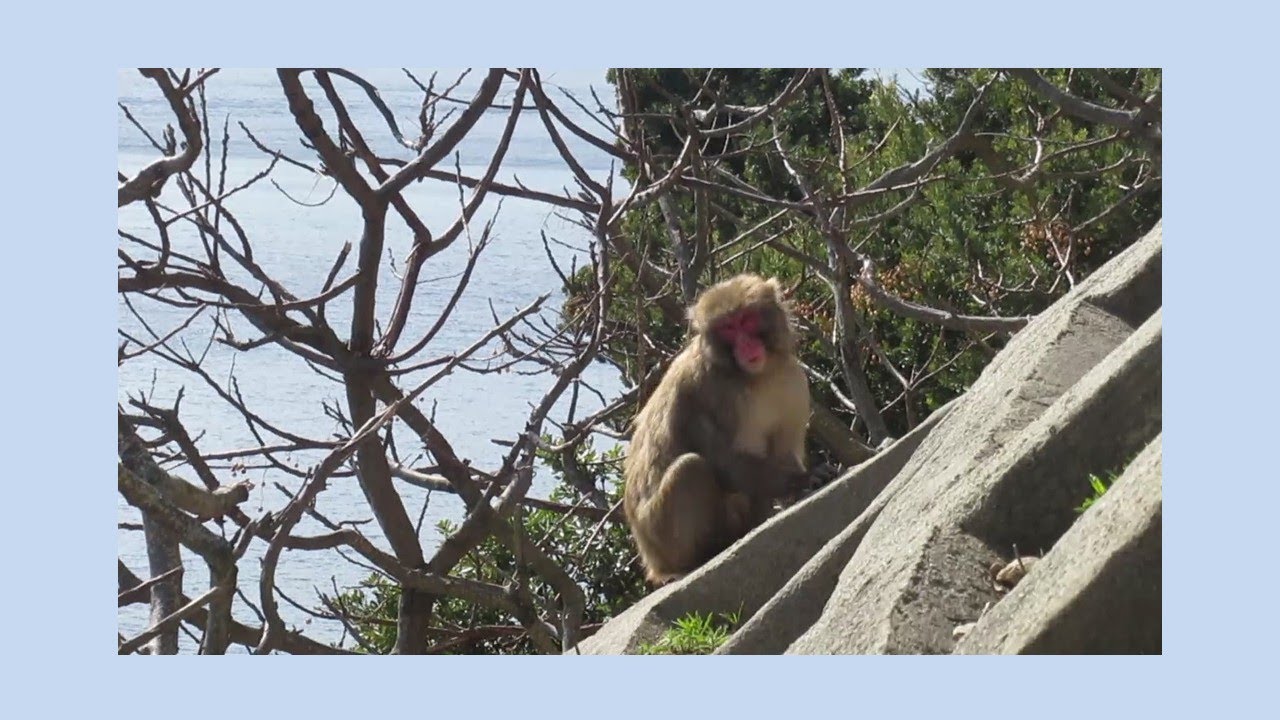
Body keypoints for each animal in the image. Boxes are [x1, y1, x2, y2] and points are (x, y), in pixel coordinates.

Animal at [622, 273, 813, 586]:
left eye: (746, 321)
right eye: (728, 329)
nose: (746, 345)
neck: (753, 378)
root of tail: (651, 561)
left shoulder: (792, 382)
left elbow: (782, 450)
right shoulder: (705, 390)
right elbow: (725, 462)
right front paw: (802, 480)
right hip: (662, 538)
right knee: (691, 469)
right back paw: (703, 555)